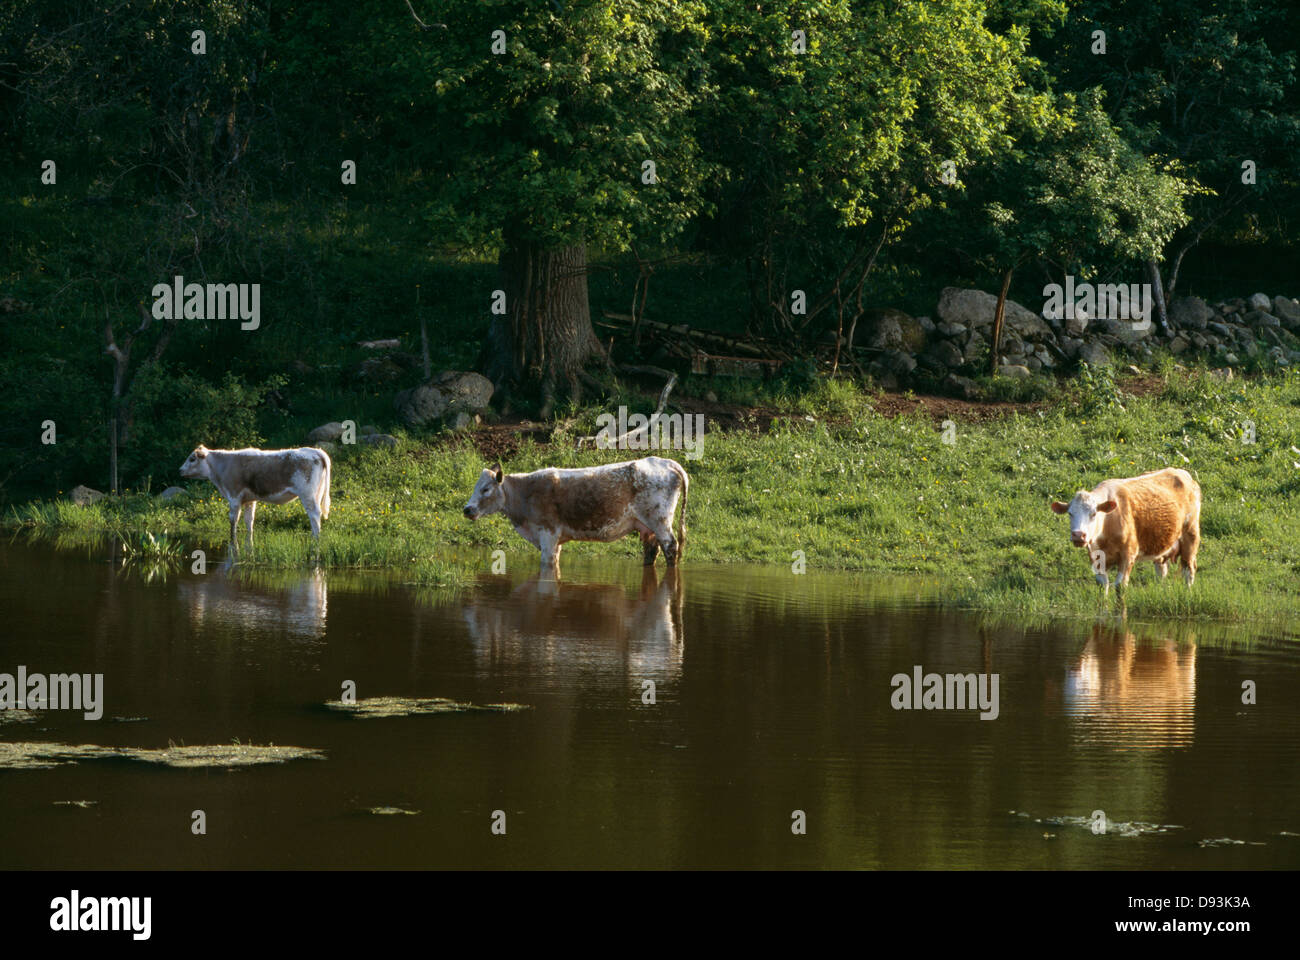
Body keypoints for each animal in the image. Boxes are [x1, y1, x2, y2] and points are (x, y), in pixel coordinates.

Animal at [179, 445, 331, 550]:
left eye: (192, 459)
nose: (180, 470)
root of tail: (314, 451)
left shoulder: (234, 497)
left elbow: (233, 520)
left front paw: (232, 539)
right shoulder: (250, 500)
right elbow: (249, 521)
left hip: (307, 495)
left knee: (314, 515)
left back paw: (315, 538)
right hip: (316, 494)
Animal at [462, 456, 689, 573]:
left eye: (485, 489)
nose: (467, 509)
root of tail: (666, 462)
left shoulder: (548, 534)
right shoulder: (555, 541)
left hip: (660, 521)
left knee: (670, 547)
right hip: (648, 527)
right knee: (652, 551)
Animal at [1050, 467, 1200, 594]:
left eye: (1094, 514)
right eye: (1070, 513)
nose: (1078, 535)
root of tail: (1181, 472)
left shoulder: (1128, 555)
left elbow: (1120, 587)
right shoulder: (1096, 558)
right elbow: (1103, 587)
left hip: (1190, 535)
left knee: (1189, 570)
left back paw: (1188, 593)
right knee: (1161, 571)